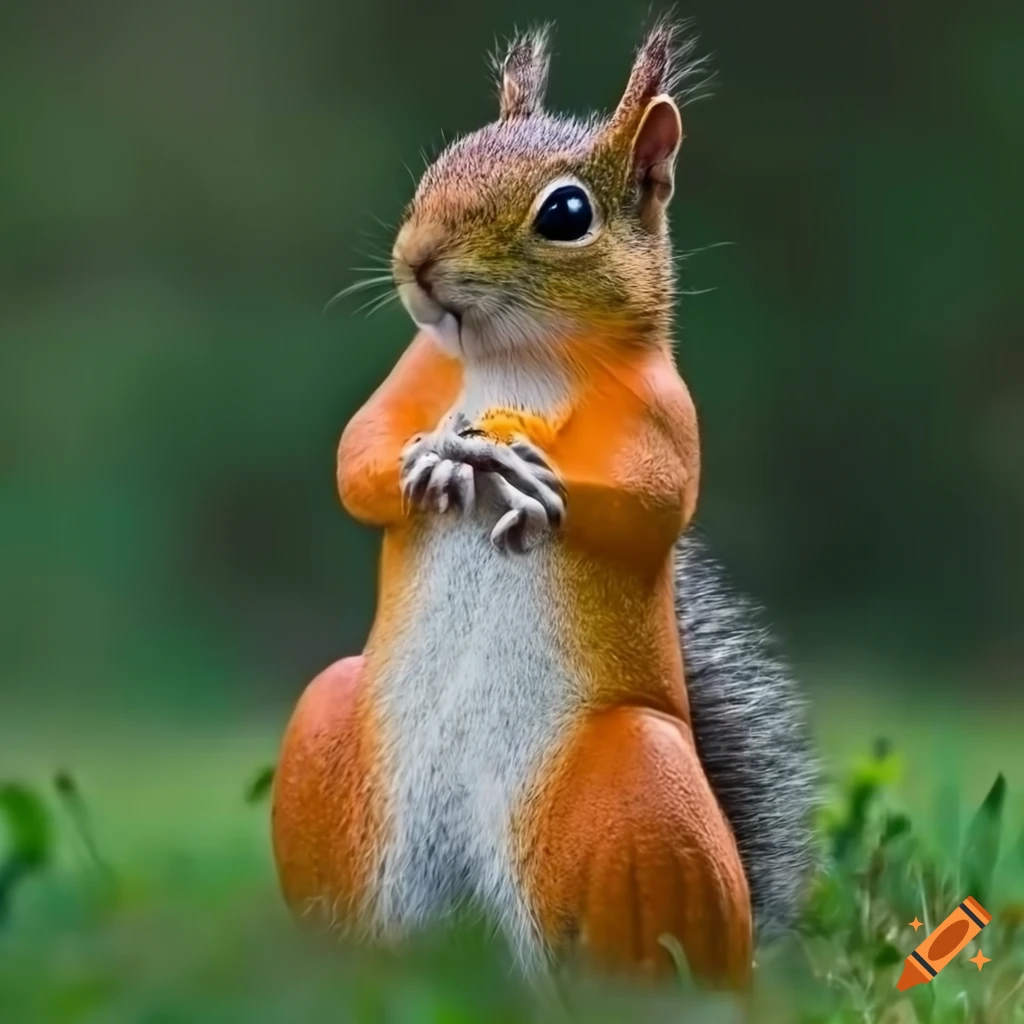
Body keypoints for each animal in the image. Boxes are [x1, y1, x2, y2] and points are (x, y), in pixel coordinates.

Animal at [271, 21, 817, 987]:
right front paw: (429, 463)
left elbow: (656, 497)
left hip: (636, 805)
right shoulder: (416, 374)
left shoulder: (665, 412)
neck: (516, 359)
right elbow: (355, 455)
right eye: (441, 163)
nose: (417, 262)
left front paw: (536, 482)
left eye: (566, 215)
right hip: (335, 756)